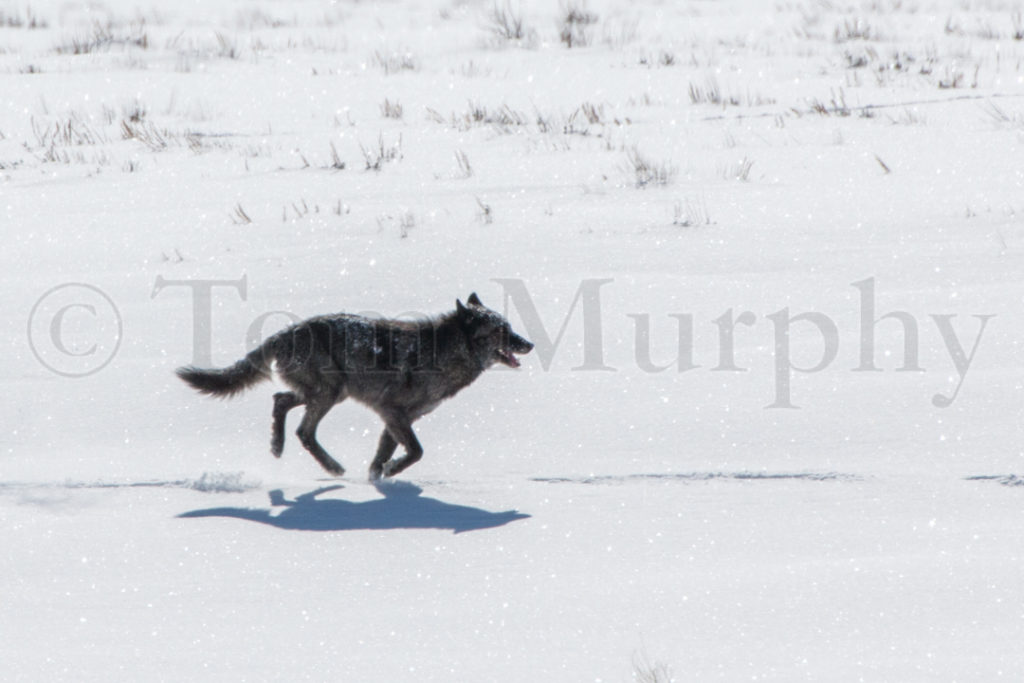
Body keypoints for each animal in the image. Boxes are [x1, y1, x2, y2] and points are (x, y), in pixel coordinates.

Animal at [176, 293, 533, 480]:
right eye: (501, 331)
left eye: (510, 327)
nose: (529, 344)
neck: (442, 352)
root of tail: (285, 332)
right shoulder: (392, 413)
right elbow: (416, 452)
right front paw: (391, 472)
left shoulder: (397, 419)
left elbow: (385, 455)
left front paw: (379, 478)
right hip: (329, 393)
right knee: (303, 430)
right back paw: (331, 467)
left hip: (326, 393)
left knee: (280, 400)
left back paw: (277, 447)